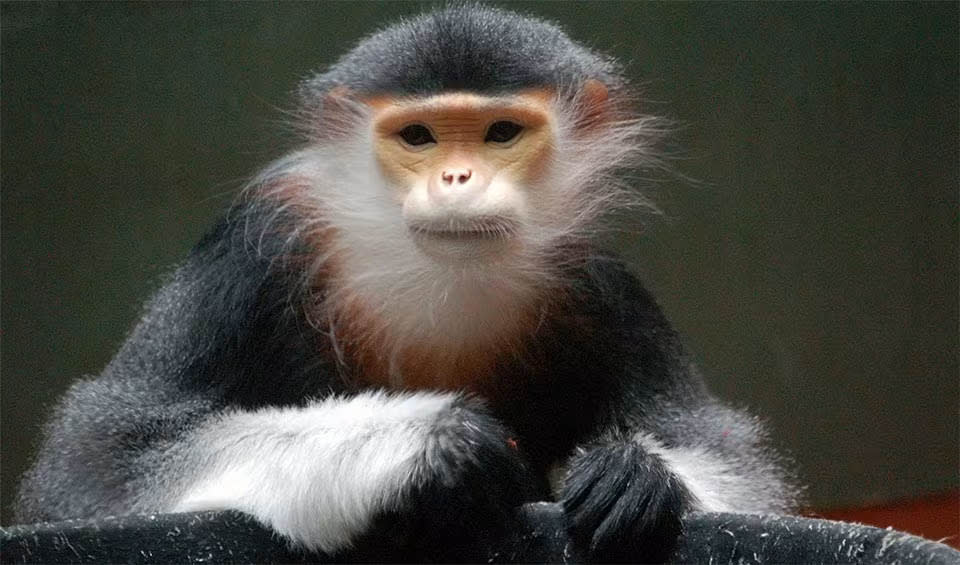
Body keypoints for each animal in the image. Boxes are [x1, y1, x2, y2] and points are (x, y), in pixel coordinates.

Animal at [15, 4, 799, 563]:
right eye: (419, 137)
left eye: (501, 133)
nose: (457, 178)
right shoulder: (253, 250)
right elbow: (99, 460)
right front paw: (435, 443)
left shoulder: (601, 288)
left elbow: (743, 476)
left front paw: (637, 472)